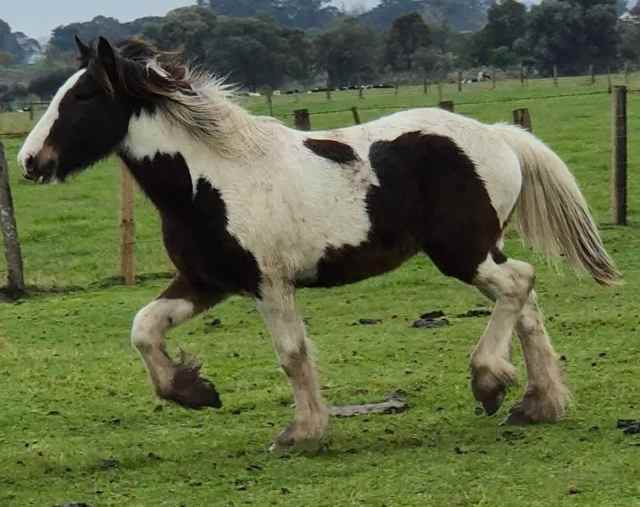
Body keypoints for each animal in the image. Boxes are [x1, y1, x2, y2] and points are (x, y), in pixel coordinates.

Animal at [18, 37, 620, 452]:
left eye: (84, 96)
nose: (29, 161)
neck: (211, 176)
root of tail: (498, 135)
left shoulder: (268, 283)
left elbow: (291, 353)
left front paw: (302, 432)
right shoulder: (206, 281)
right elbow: (143, 328)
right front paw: (194, 390)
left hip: (461, 251)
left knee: (518, 284)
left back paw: (490, 382)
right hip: (481, 249)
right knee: (526, 298)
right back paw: (539, 404)